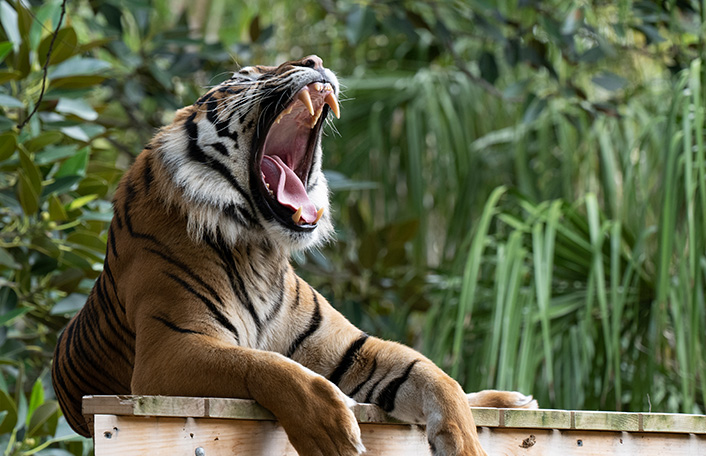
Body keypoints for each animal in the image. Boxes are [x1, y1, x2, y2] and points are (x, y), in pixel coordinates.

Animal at [51, 55, 537, 456]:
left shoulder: (352, 348)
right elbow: (263, 363)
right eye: (244, 78)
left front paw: (466, 443)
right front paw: (331, 432)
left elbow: (436, 375)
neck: (258, 248)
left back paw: (514, 399)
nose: (314, 60)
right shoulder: (170, 349)